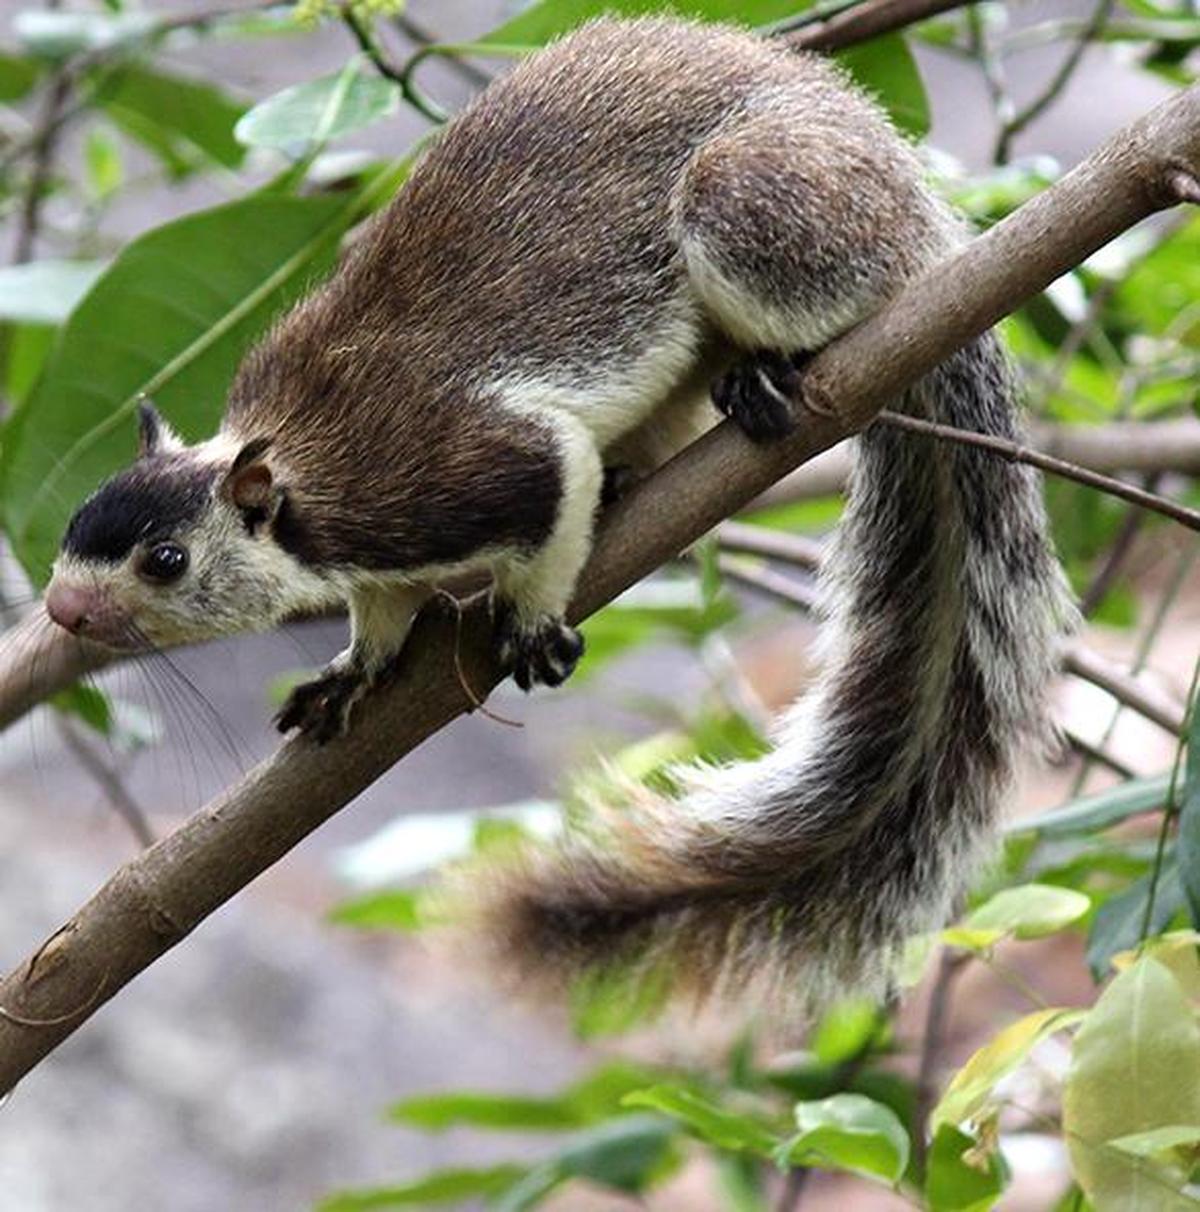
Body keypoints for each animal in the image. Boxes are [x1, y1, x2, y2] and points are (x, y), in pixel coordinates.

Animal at [44, 18, 1071, 1003]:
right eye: (69, 533)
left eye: (166, 560)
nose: (60, 610)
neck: (303, 485)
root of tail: (899, 179)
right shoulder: (383, 552)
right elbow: (382, 613)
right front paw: (354, 670)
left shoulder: (457, 470)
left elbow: (552, 487)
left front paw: (532, 623)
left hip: (759, 209)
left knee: (841, 292)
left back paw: (773, 373)